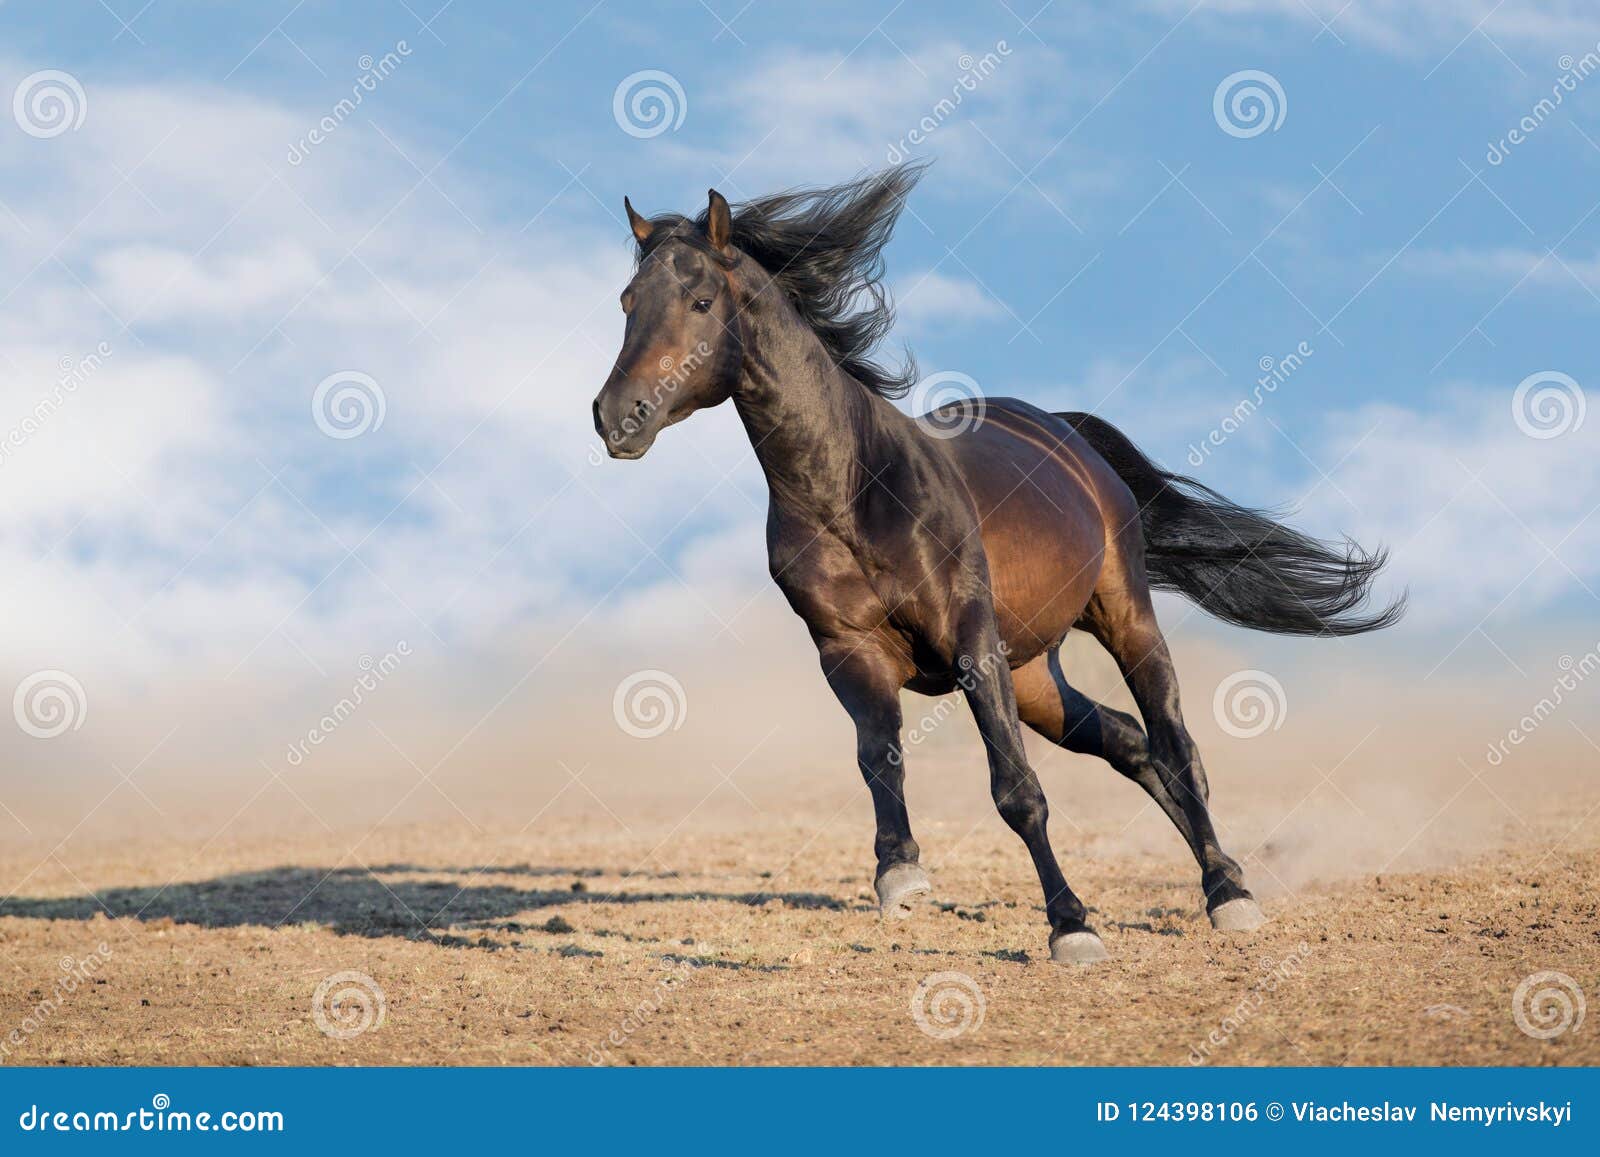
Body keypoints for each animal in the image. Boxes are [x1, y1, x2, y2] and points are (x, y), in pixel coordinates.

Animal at [591, 164, 1401, 964]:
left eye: (700, 301)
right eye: (628, 302)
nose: (616, 417)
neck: (853, 488)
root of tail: (1069, 438)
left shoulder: (970, 640)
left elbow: (1017, 790)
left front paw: (1072, 926)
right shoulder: (847, 652)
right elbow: (878, 757)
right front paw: (899, 873)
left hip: (1124, 619)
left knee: (1177, 746)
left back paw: (1231, 893)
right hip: (1036, 675)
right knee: (1129, 743)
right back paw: (1218, 876)